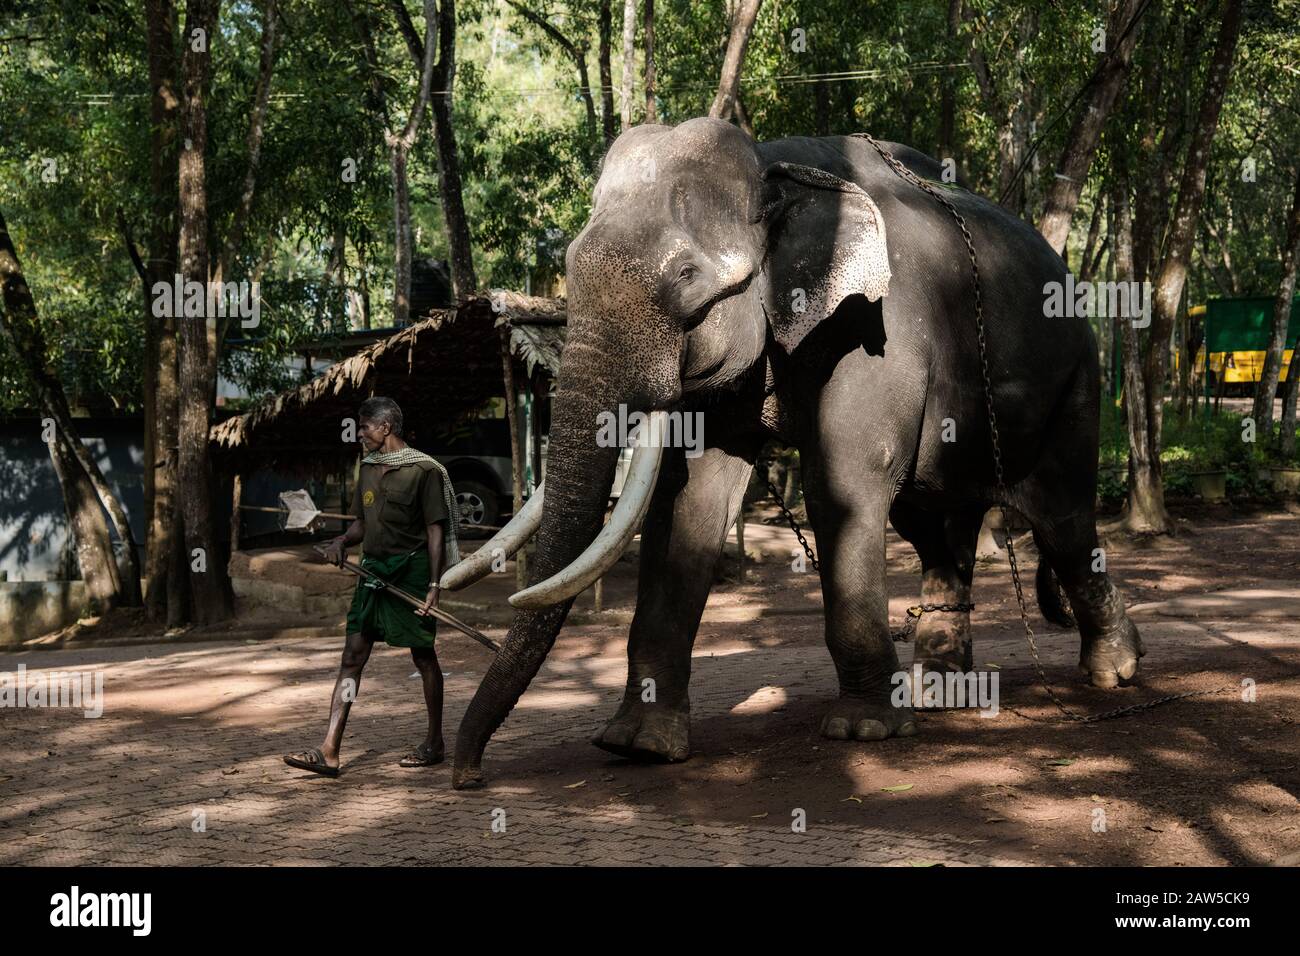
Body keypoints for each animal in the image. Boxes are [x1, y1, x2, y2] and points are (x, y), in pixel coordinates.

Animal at [442, 117, 1145, 789]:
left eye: (685, 276)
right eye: (569, 261)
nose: (469, 774)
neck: (773, 164)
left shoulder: (879, 329)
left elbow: (843, 487)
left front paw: (864, 731)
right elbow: (687, 503)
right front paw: (638, 744)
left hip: (1076, 382)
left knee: (1062, 521)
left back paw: (1116, 668)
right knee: (934, 526)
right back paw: (939, 690)